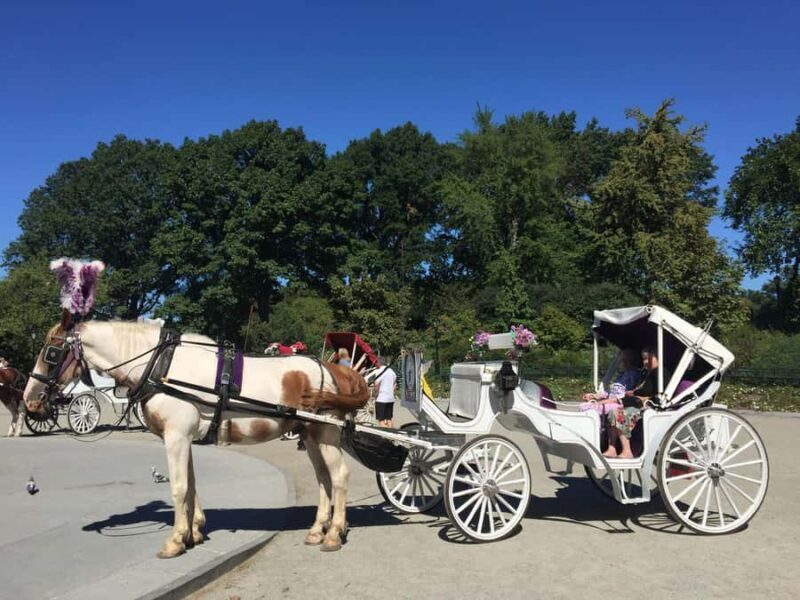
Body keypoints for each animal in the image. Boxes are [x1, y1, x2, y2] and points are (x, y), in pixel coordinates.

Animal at [23, 312, 370, 558]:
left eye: (51, 351)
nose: (30, 399)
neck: (159, 365)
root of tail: (334, 368)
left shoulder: (176, 437)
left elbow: (178, 488)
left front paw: (176, 540)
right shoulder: (183, 438)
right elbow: (190, 485)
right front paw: (194, 532)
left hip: (325, 433)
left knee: (339, 476)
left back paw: (334, 533)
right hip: (311, 435)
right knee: (324, 479)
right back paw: (317, 529)